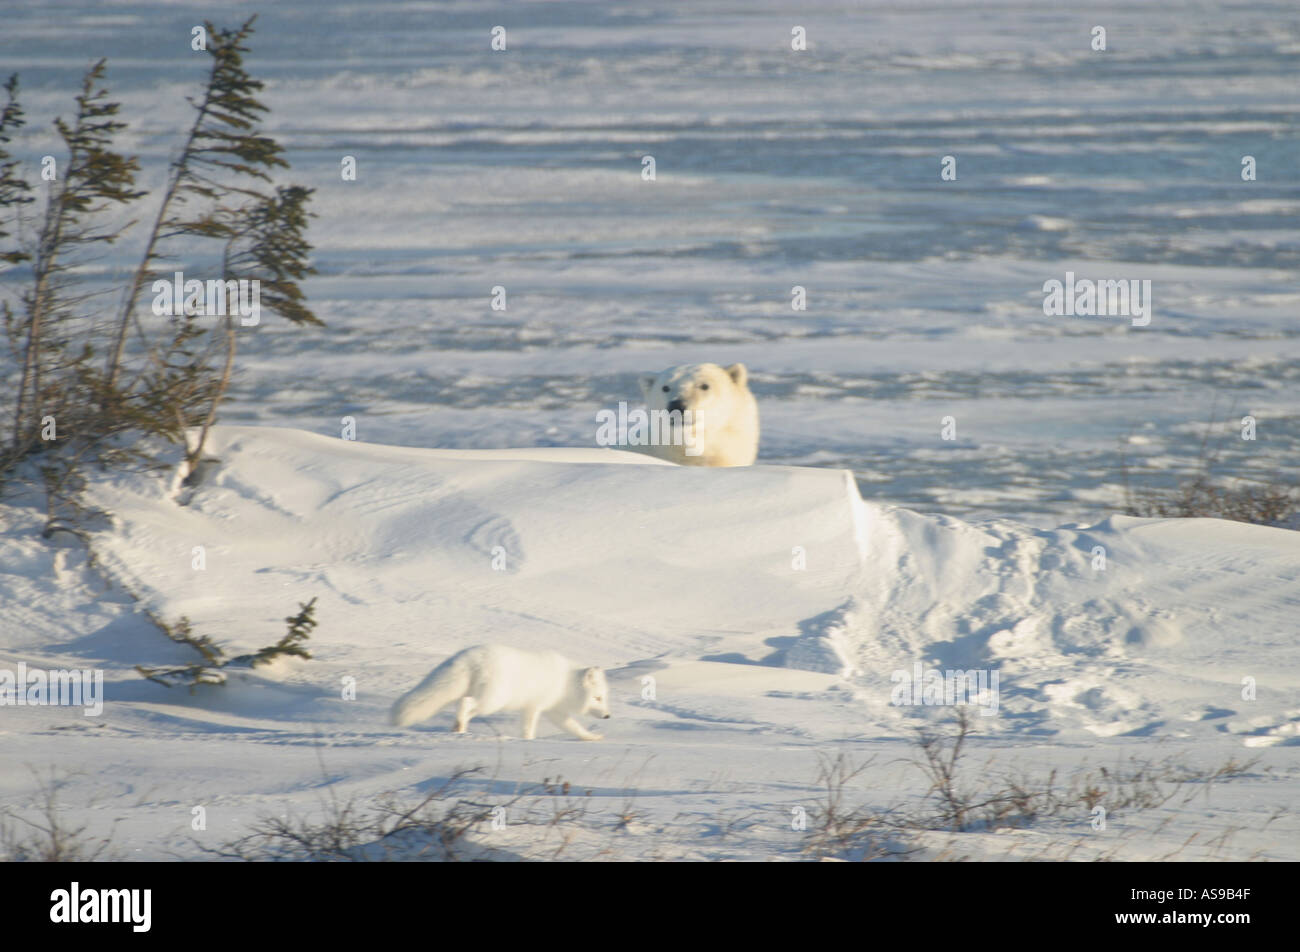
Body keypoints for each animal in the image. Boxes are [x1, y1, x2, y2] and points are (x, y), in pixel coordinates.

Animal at [389, 644, 611, 741]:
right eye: (597, 698)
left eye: (603, 698)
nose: (608, 716)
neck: (565, 683)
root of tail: (471, 655)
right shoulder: (535, 706)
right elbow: (529, 728)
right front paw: (528, 741)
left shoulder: (553, 711)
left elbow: (574, 727)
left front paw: (591, 737)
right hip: (494, 700)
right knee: (468, 704)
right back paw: (460, 725)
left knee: (462, 702)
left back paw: (458, 729)